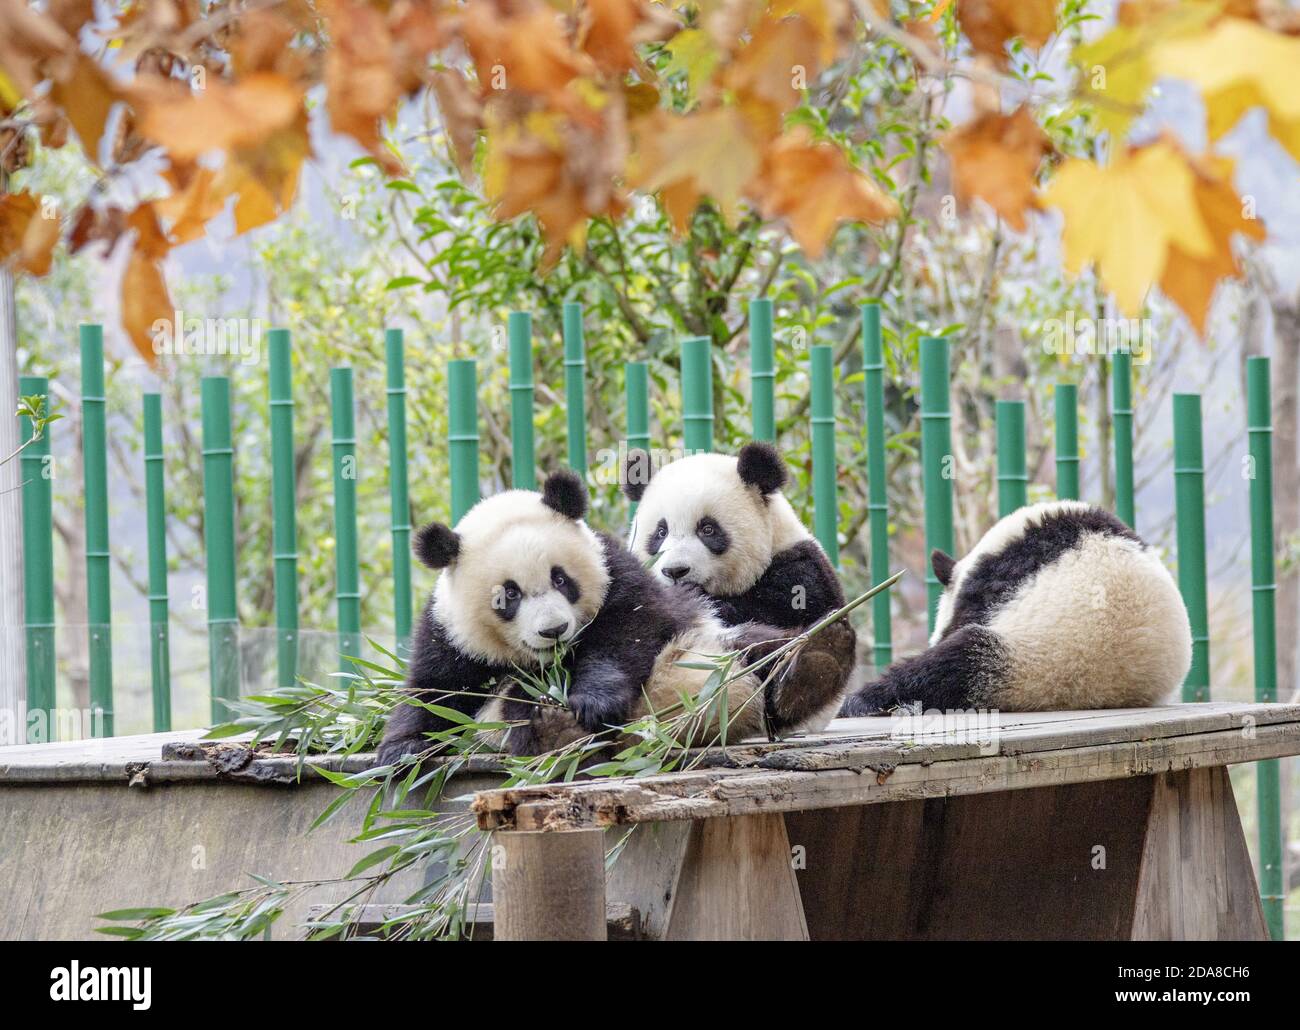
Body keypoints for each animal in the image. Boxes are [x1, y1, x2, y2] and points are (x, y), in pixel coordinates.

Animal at [376, 469, 853, 765]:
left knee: (767, 648)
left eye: (562, 579)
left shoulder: (619, 576)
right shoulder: (449, 632)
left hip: (716, 642)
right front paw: (400, 750)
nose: (554, 630)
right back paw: (553, 727)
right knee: (515, 707)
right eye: (508, 595)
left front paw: (593, 700)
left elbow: (628, 635)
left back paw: (816, 664)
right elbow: (435, 688)